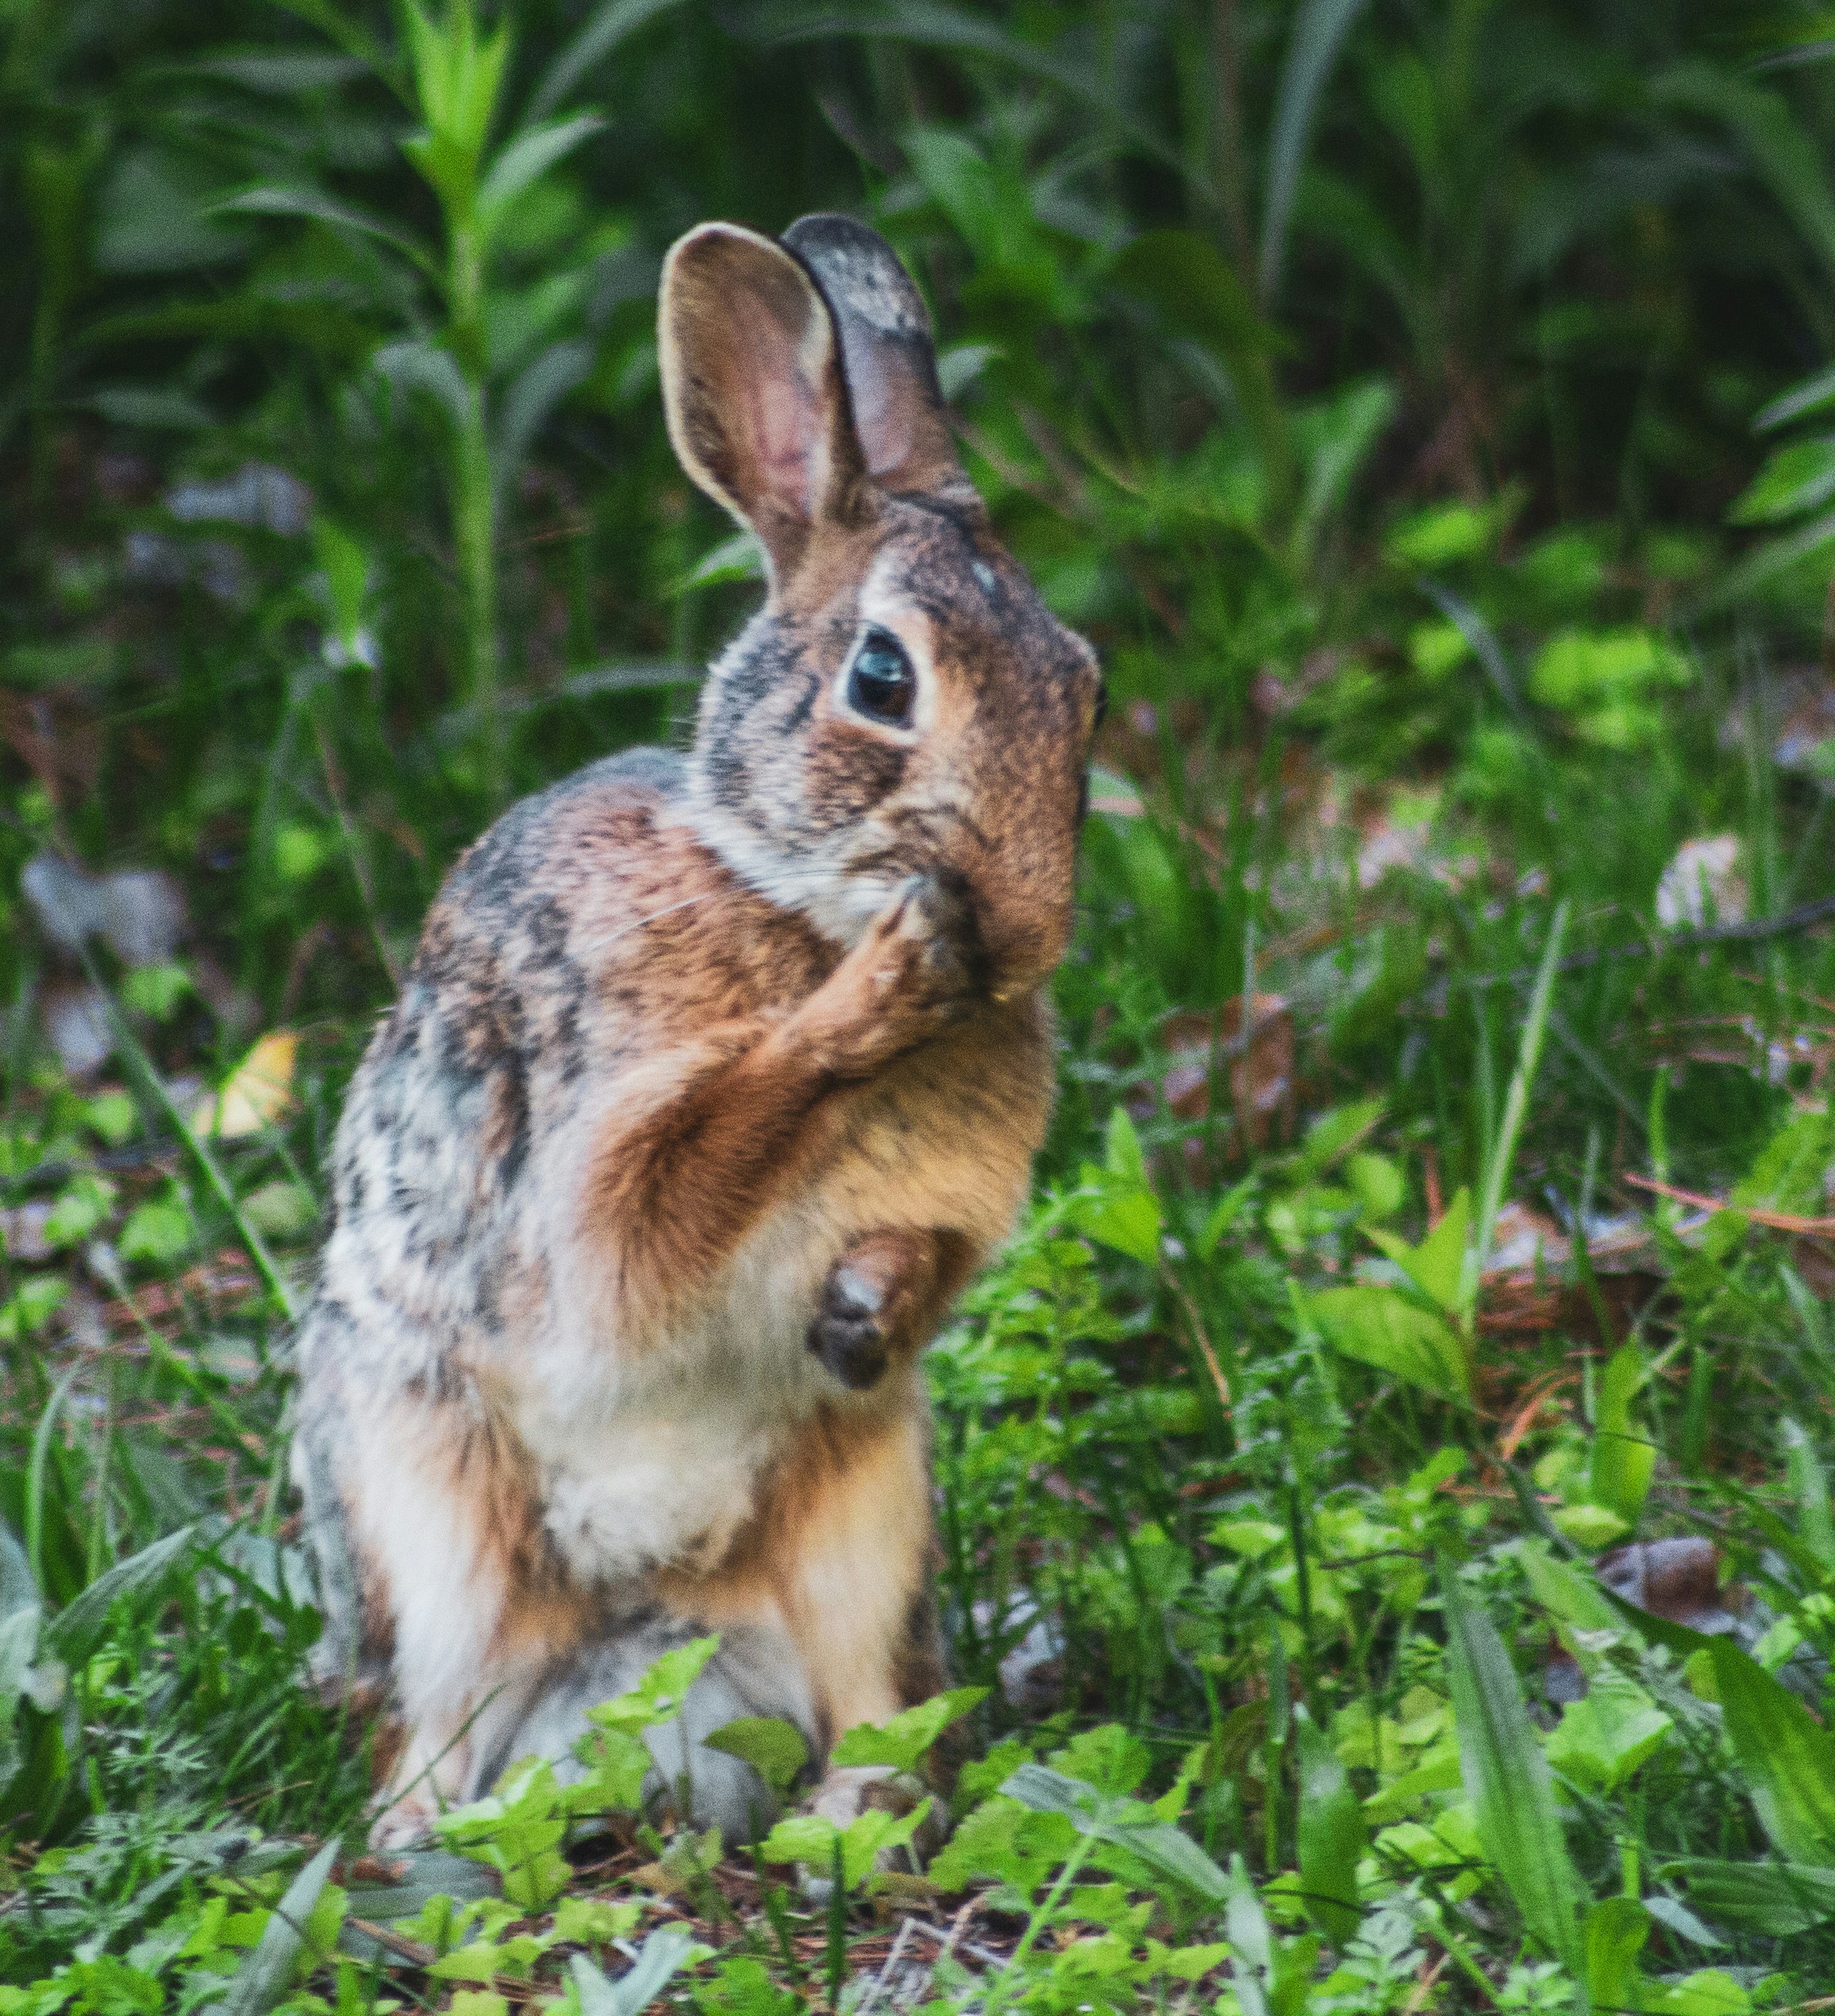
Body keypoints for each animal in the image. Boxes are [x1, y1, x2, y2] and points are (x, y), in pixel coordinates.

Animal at [291, 212, 1104, 1851]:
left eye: (1087, 693)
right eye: (881, 678)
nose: (1015, 931)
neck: (778, 889)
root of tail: (644, 1637)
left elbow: (916, 1260)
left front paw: (860, 1312)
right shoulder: (591, 1169)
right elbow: (674, 1184)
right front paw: (893, 978)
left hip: (868, 1519)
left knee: (866, 1698)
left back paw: (857, 1820)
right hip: (424, 1517)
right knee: (427, 1722)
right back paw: (422, 1840)